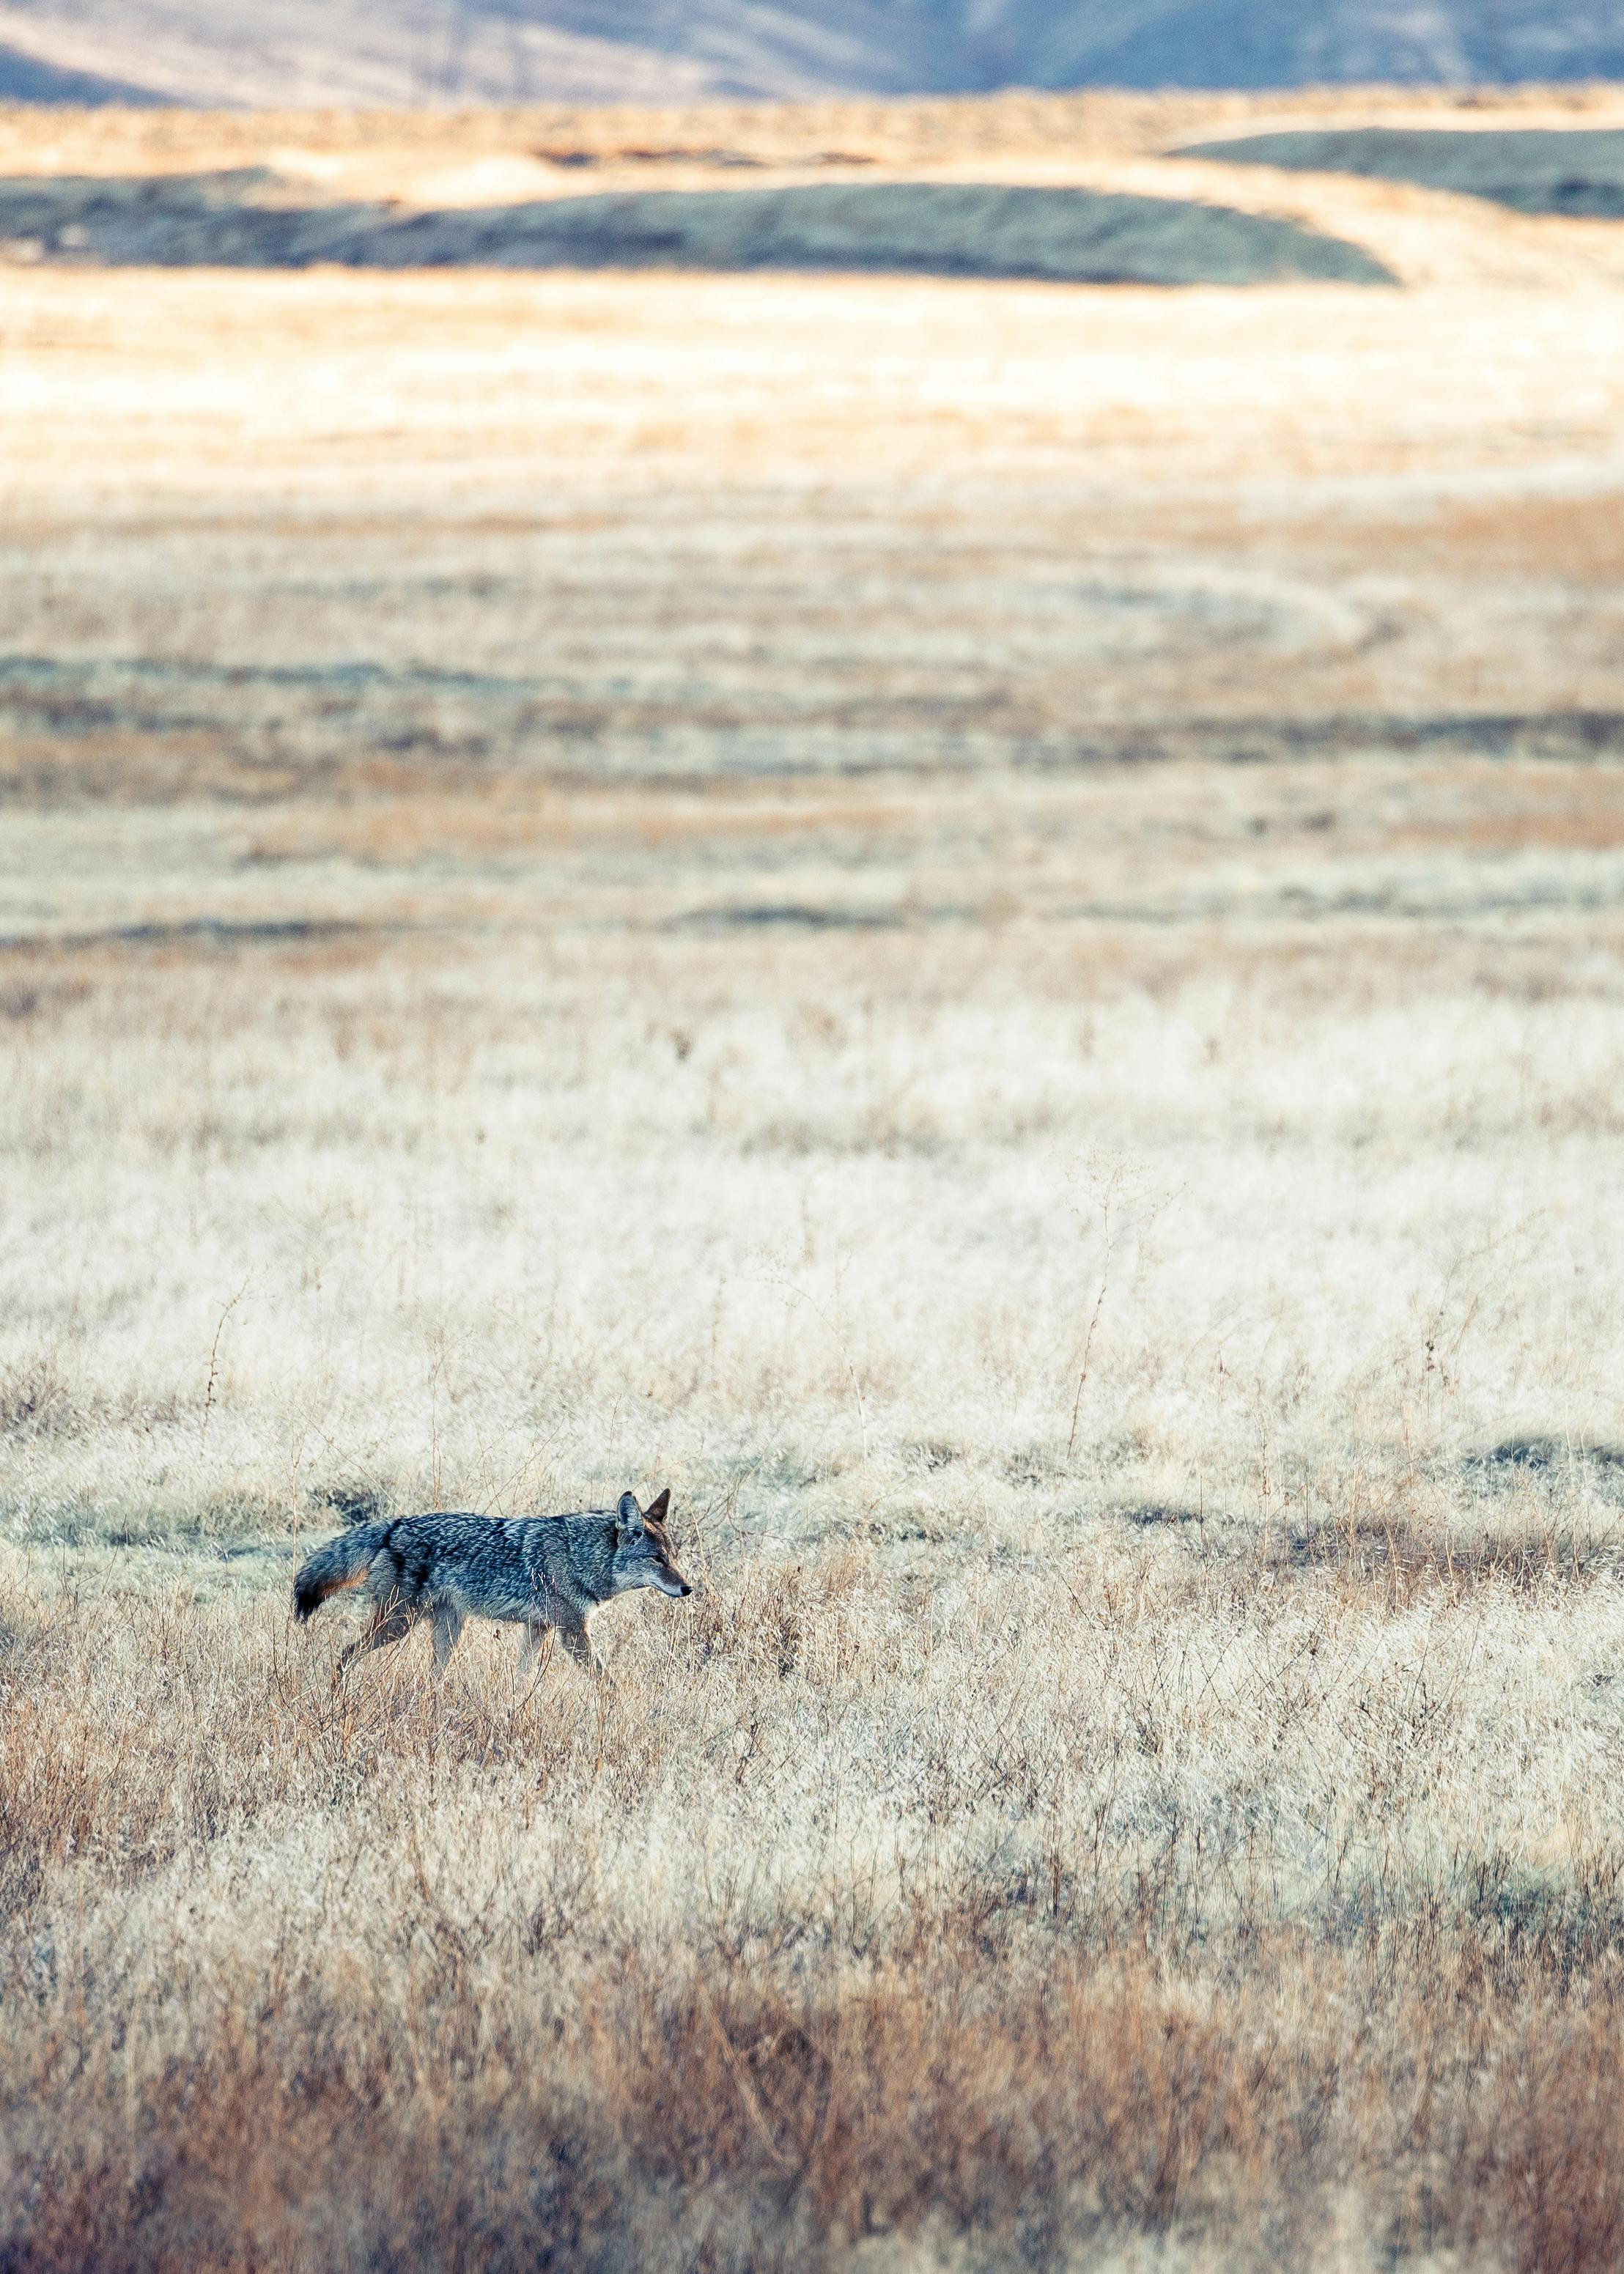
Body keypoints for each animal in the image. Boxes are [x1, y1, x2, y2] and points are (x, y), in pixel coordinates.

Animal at [292, 1487, 690, 1677]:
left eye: (673, 1557)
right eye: (657, 1560)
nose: (688, 1589)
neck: (578, 1557)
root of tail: (395, 1524)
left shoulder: (538, 1629)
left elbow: (522, 1677)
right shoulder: (572, 1633)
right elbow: (606, 1681)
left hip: (447, 1631)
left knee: (431, 1677)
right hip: (398, 1624)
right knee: (345, 1656)